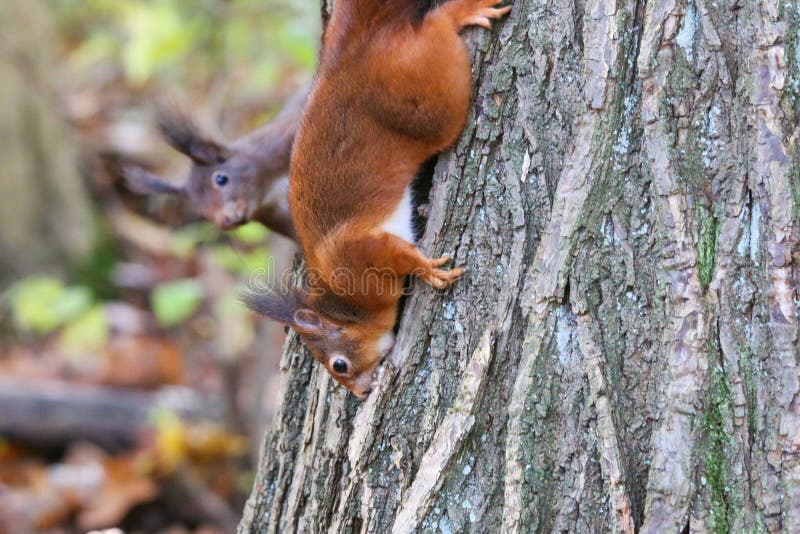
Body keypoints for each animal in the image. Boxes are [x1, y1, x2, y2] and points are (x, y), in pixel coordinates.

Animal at [122, 84, 311, 240]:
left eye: (221, 179)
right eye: (198, 207)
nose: (225, 221)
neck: (265, 191)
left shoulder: (276, 145)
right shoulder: (273, 216)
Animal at [244, 0, 510, 398]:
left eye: (339, 364)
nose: (360, 393)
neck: (348, 302)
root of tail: (347, 57)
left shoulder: (360, 257)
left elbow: (397, 254)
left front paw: (427, 270)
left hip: (425, 101)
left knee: (435, 30)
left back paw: (457, 14)